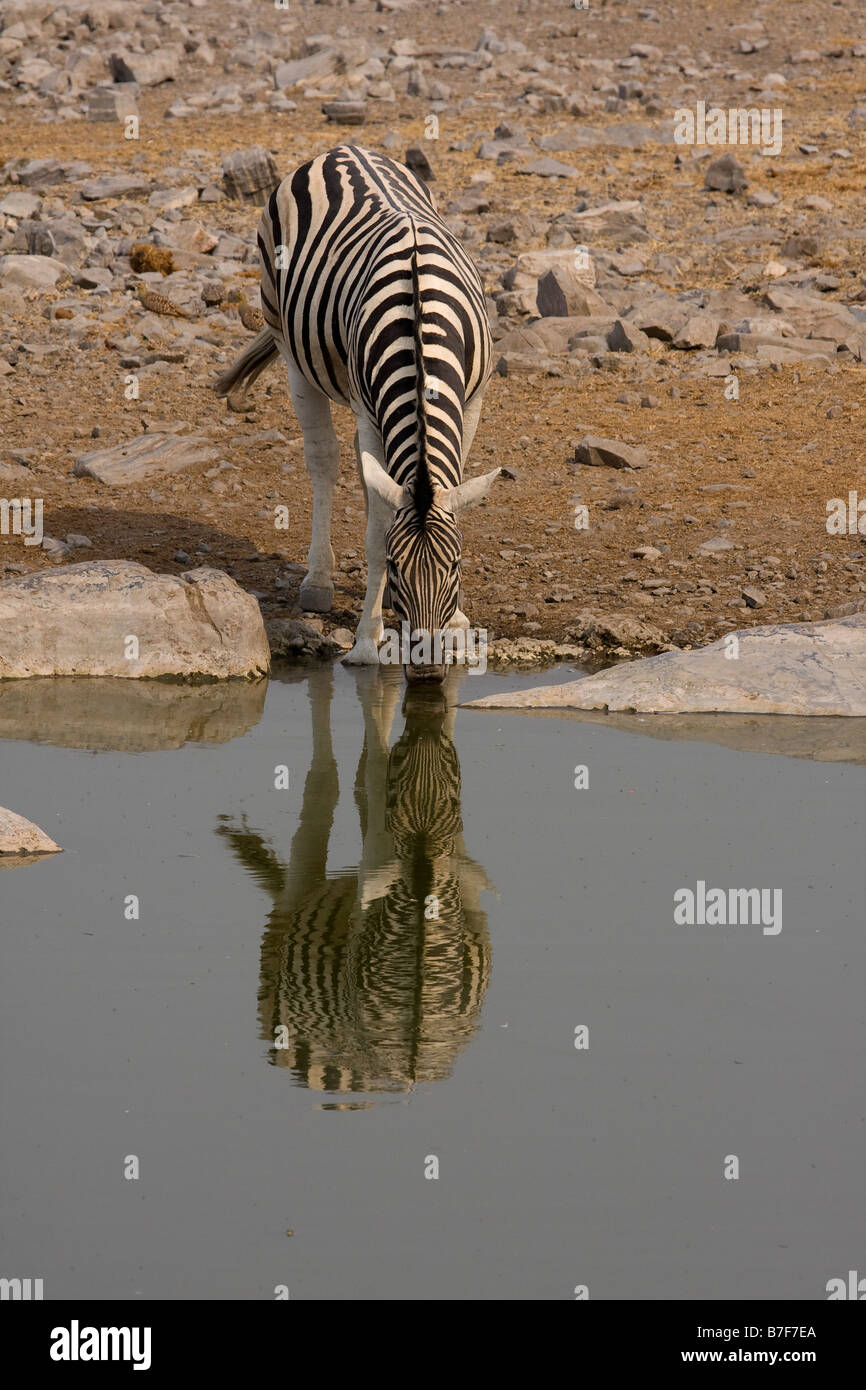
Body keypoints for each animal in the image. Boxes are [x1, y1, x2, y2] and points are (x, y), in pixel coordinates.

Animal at [214, 144, 504, 683]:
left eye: (455, 567)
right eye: (396, 563)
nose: (427, 673)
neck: (420, 321)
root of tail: (341, 150)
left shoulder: (473, 399)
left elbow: (448, 492)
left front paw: (457, 624)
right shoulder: (372, 412)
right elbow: (375, 529)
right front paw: (368, 641)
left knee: (369, 470)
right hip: (291, 351)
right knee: (325, 460)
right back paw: (319, 581)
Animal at [216, 667, 494, 1095]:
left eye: (453, 795)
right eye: (396, 792)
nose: (426, 691)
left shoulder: (458, 879)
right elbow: (366, 775)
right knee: (324, 783)